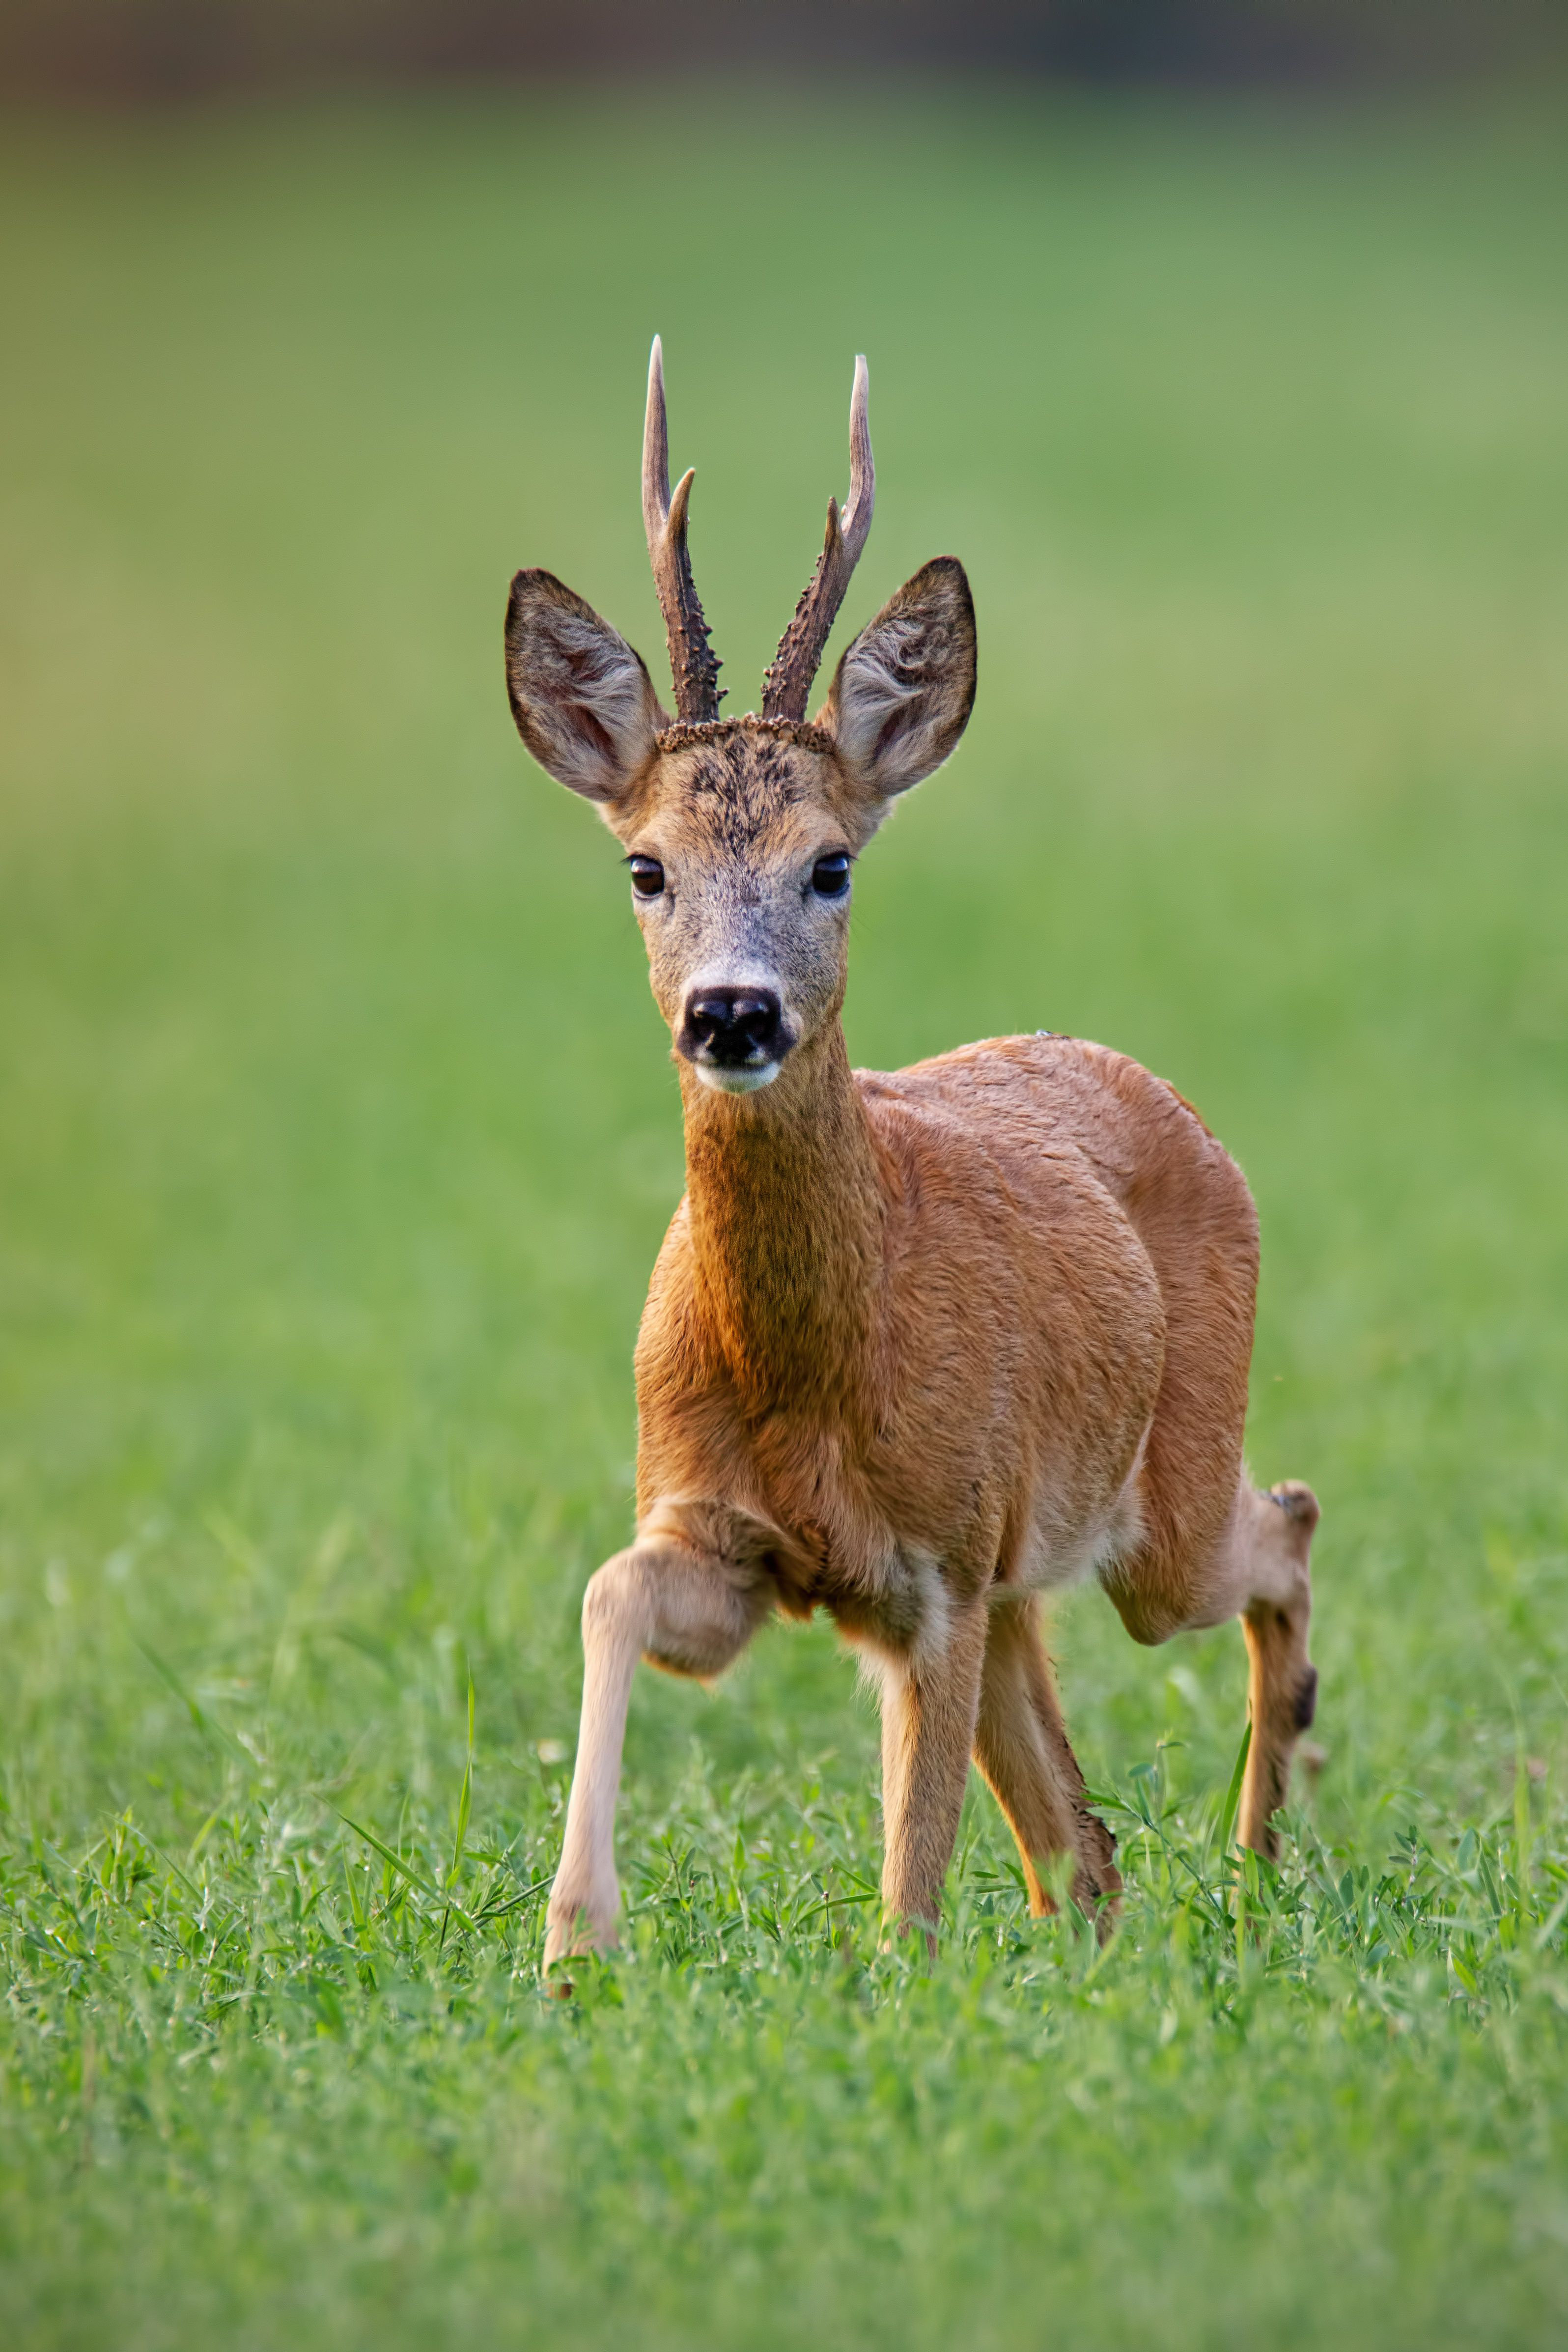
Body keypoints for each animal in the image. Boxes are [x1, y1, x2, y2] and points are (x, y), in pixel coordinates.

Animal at [503, 340, 1320, 1967]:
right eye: (644, 867)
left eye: (831, 862)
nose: (732, 1011)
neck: (812, 1371)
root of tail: (1165, 1097)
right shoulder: (727, 1526)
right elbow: (612, 1594)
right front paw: (572, 1944)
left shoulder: (935, 1568)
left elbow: (913, 1881)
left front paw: (889, 1976)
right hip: (1031, 1567)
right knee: (1077, 1839)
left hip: (1155, 1504)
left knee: (1283, 1526)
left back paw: (1261, 1848)